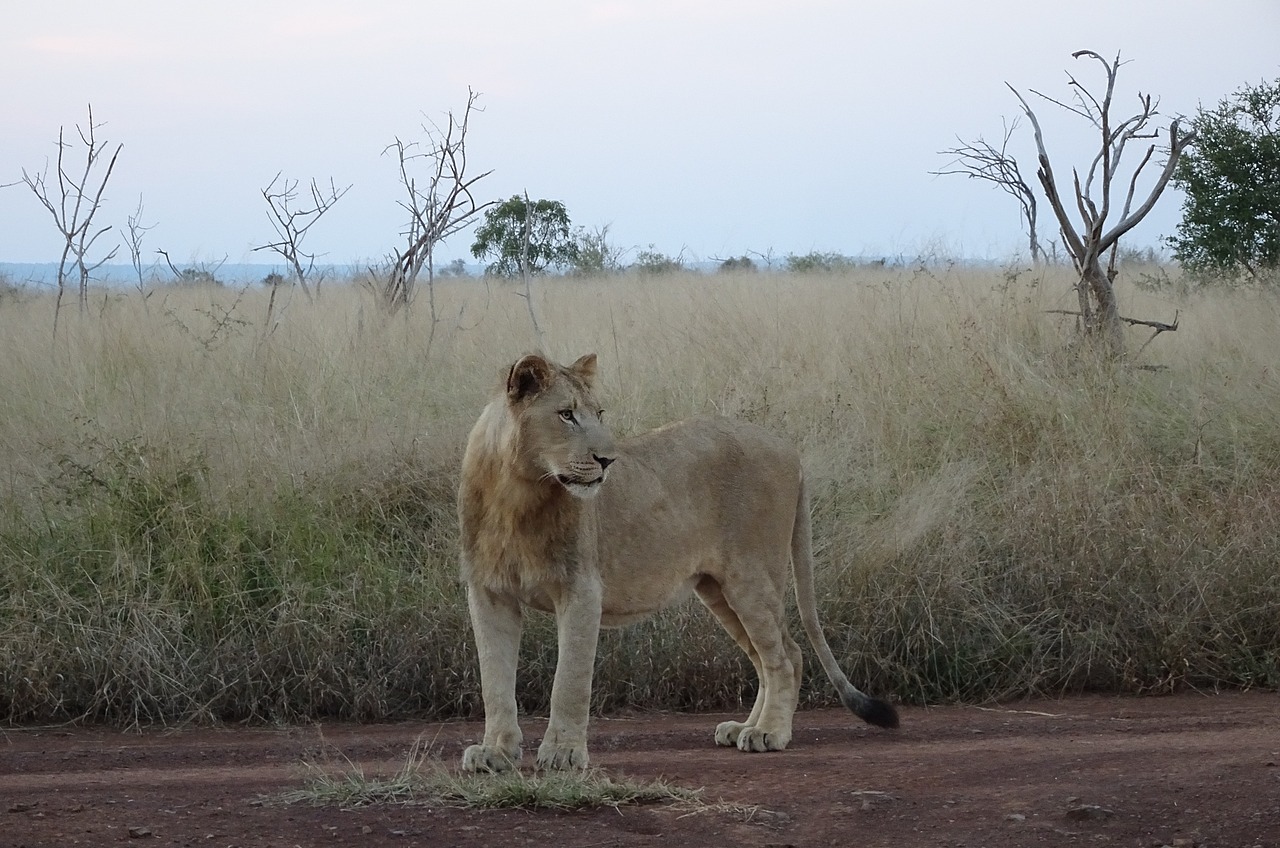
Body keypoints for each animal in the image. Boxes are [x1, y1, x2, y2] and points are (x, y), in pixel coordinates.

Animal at [457, 353, 898, 772]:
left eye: (599, 413)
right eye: (566, 414)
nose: (607, 460)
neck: (517, 493)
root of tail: (789, 448)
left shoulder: (580, 590)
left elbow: (569, 680)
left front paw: (563, 754)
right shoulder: (488, 593)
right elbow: (494, 679)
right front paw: (495, 752)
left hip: (751, 576)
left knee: (787, 655)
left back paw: (770, 733)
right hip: (718, 588)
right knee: (764, 657)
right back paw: (746, 726)